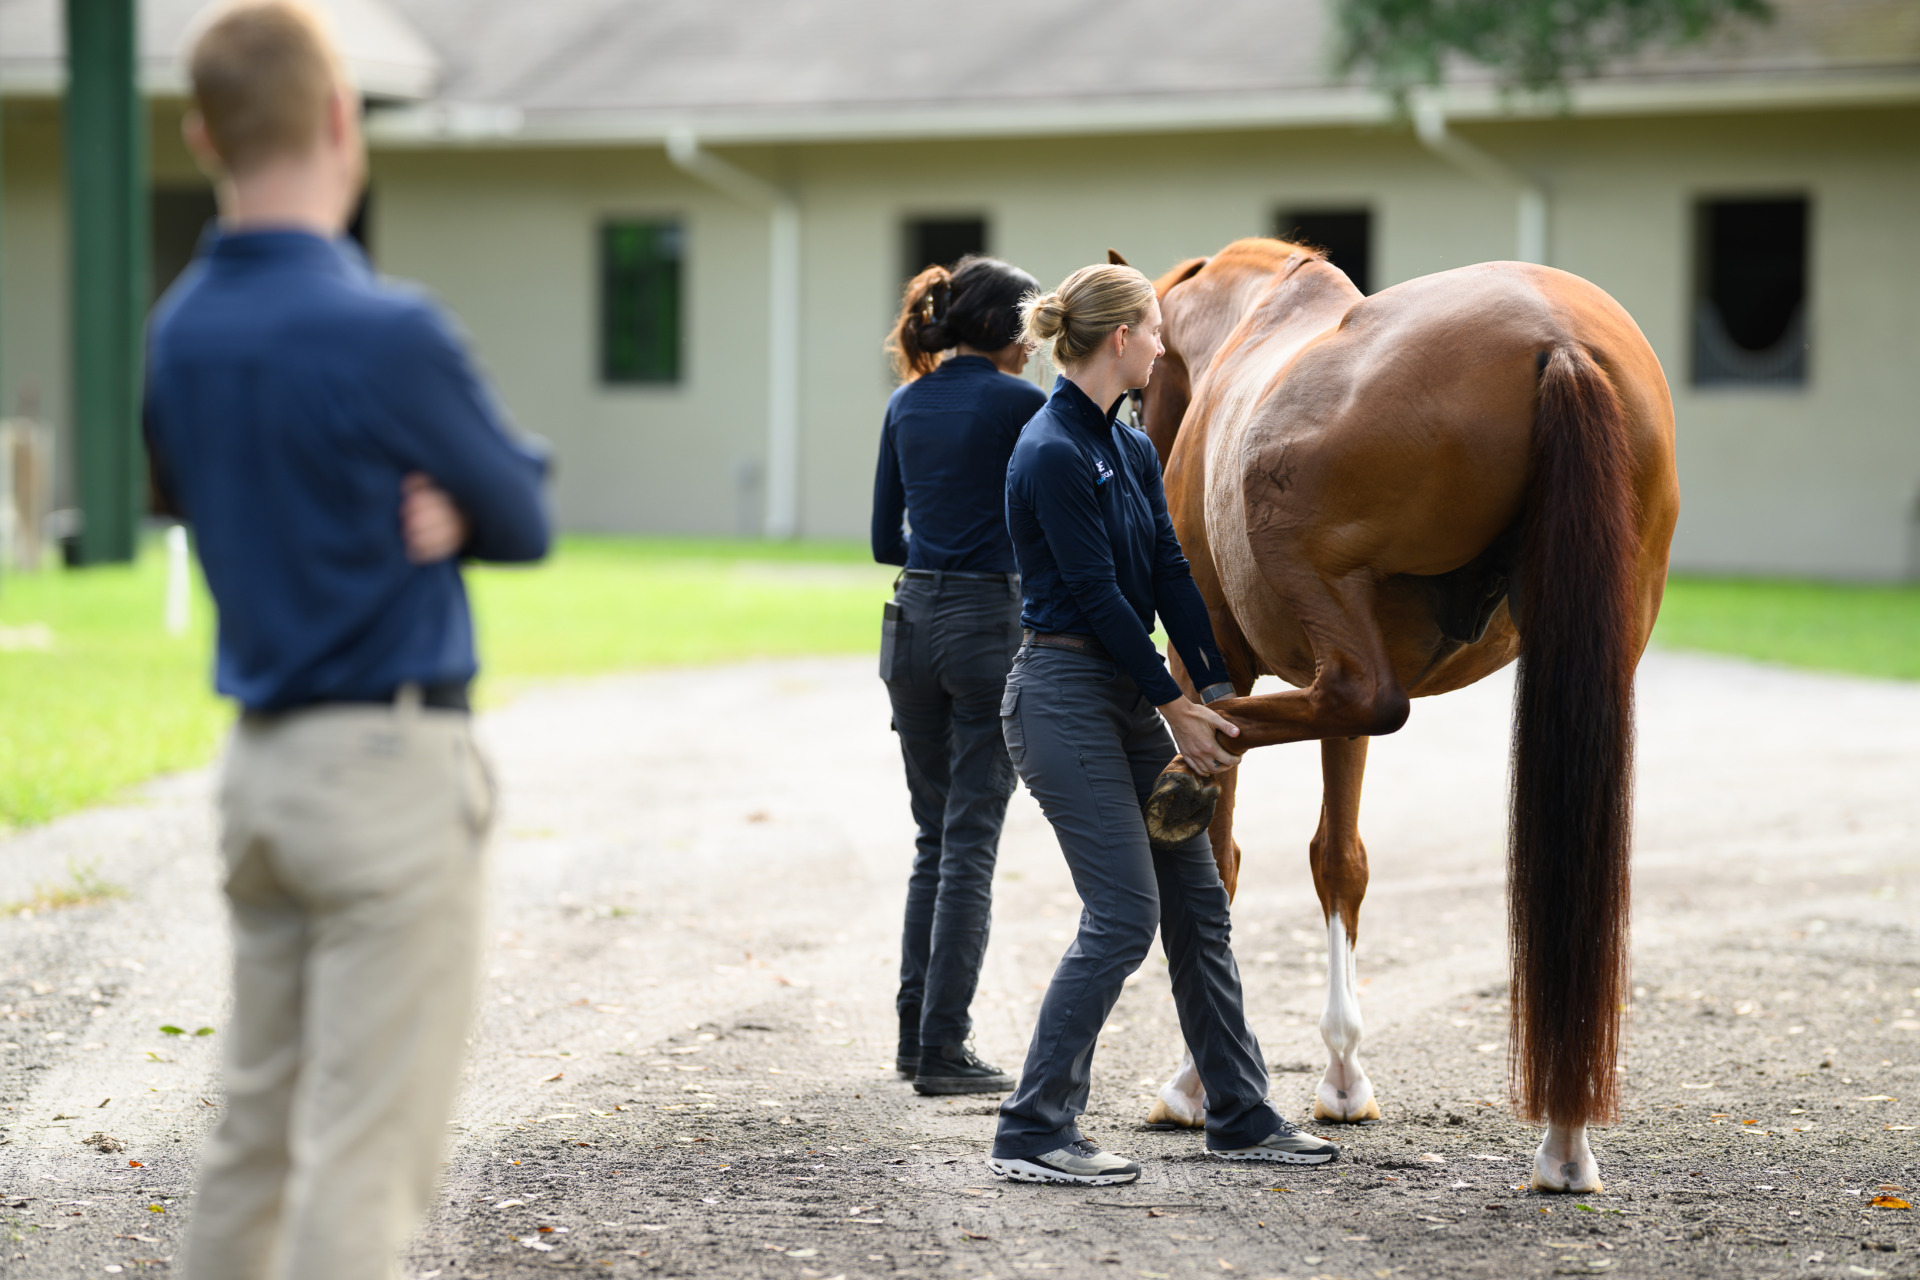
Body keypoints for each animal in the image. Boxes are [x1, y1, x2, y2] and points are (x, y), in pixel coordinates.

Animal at [1112, 239, 1679, 1193]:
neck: (1250, 329)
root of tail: (1556, 340)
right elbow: (1339, 861)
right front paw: (1341, 1075)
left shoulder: (1214, 651)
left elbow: (1221, 866)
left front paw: (1199, 1083)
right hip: (1600, 636)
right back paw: (1565, 1142)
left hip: (1313, 584)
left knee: (1363, 697)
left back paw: (1184, 773)